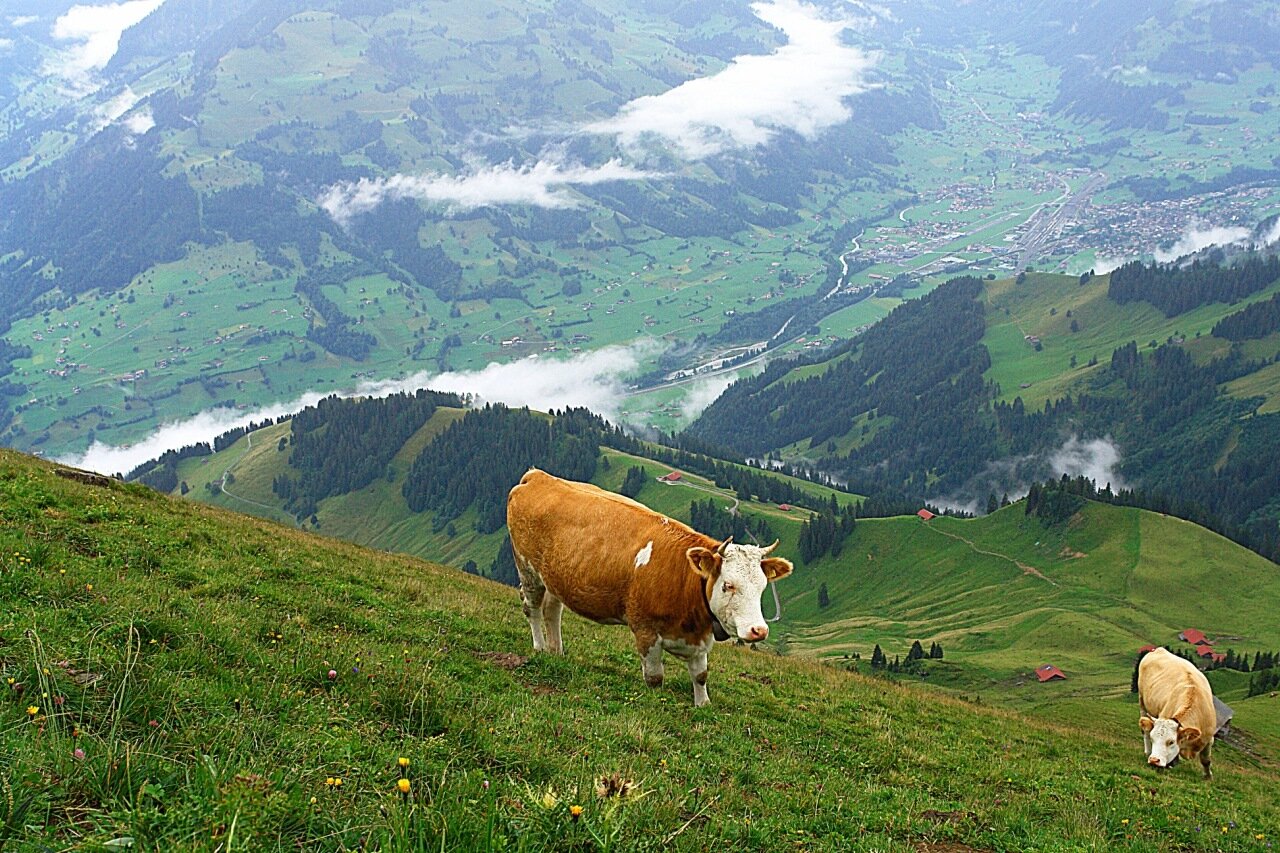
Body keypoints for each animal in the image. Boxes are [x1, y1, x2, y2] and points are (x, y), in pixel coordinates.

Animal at [506, 466, 788, 701]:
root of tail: (538, 476)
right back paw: (540, 647)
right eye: (728, 585)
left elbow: (700, 676)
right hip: (527, 568)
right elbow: (654, 678)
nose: (758, 631)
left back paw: (556, 651)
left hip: (554, 576)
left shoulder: (699, 641)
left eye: (762, 587)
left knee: (552, 611)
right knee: (532, 608)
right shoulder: (645, 629)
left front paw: (703, 704)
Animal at [1141, 645, 1218, 778]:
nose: (1154, 760)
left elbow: (1206, 760)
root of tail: (1159, 650)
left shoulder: (1209, 739)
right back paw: (1148, 751)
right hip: (1142, 703)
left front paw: (1208, 777)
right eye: (1153, 738)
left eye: (1171, 742)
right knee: (1144, 729)